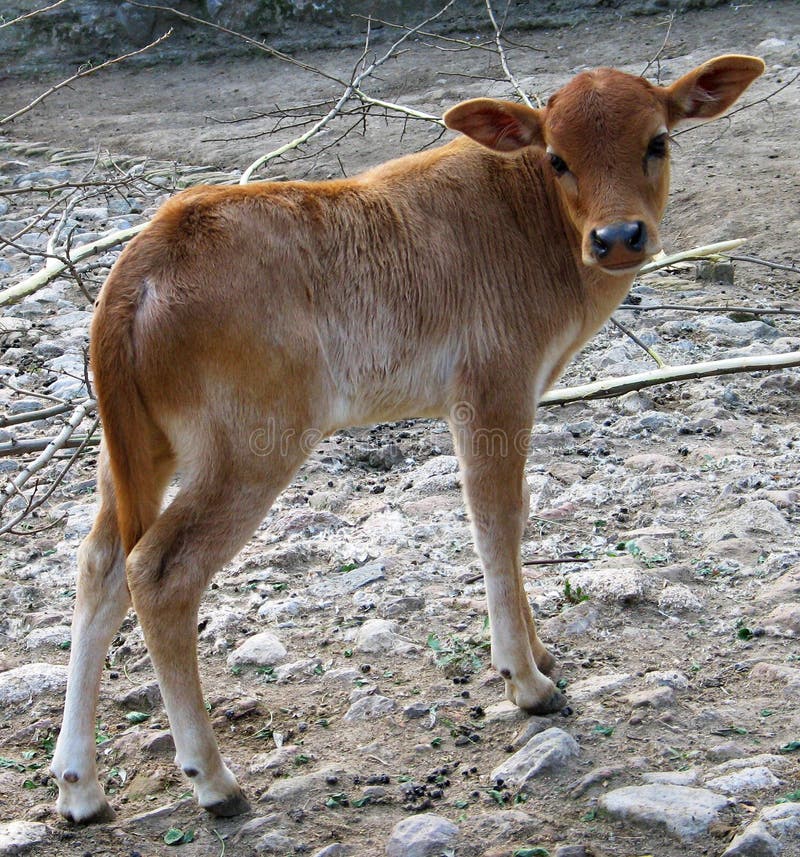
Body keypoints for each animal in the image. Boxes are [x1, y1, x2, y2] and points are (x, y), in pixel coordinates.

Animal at [50, 54, 764, 823]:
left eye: (658, 140)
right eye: (557, 157)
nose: (619, 237)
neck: (532, 223)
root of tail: (143, 260)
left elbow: (513, 520)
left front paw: (542, 656)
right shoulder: (494, 386)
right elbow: (497, 521)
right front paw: (527, 681)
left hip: (136, 450)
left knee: (98, 565)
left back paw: (80, 786)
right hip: (251, 443)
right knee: (158, 571)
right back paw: (213, 779)